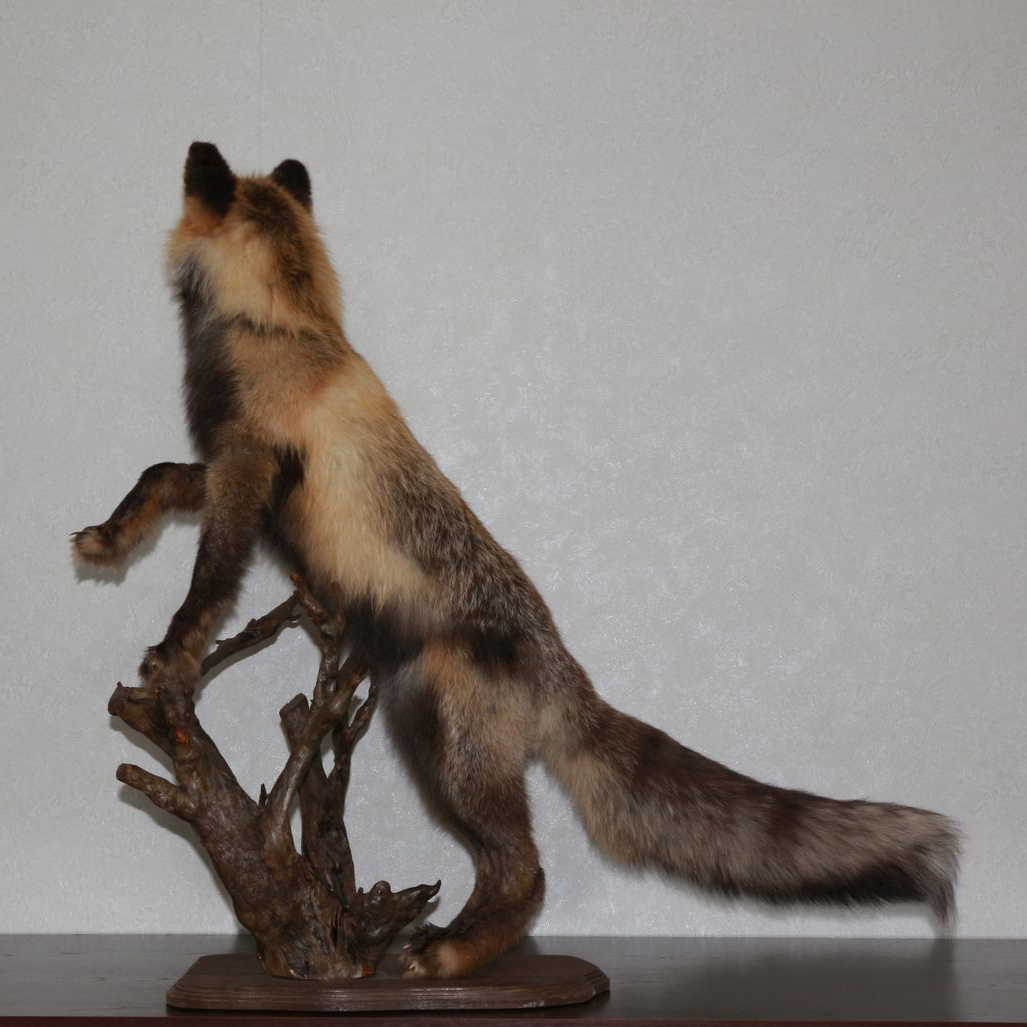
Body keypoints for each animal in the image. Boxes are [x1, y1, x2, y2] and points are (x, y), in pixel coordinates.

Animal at [73, 142, 959, 978]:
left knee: (527, 874)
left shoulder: (250, 467)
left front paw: (175, 653)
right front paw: (110, 540)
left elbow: (210, 582)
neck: (281, 328)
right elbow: (157, 476)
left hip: (441, 746)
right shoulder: (227, 466)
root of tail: (563, 670)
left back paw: (451, 956)